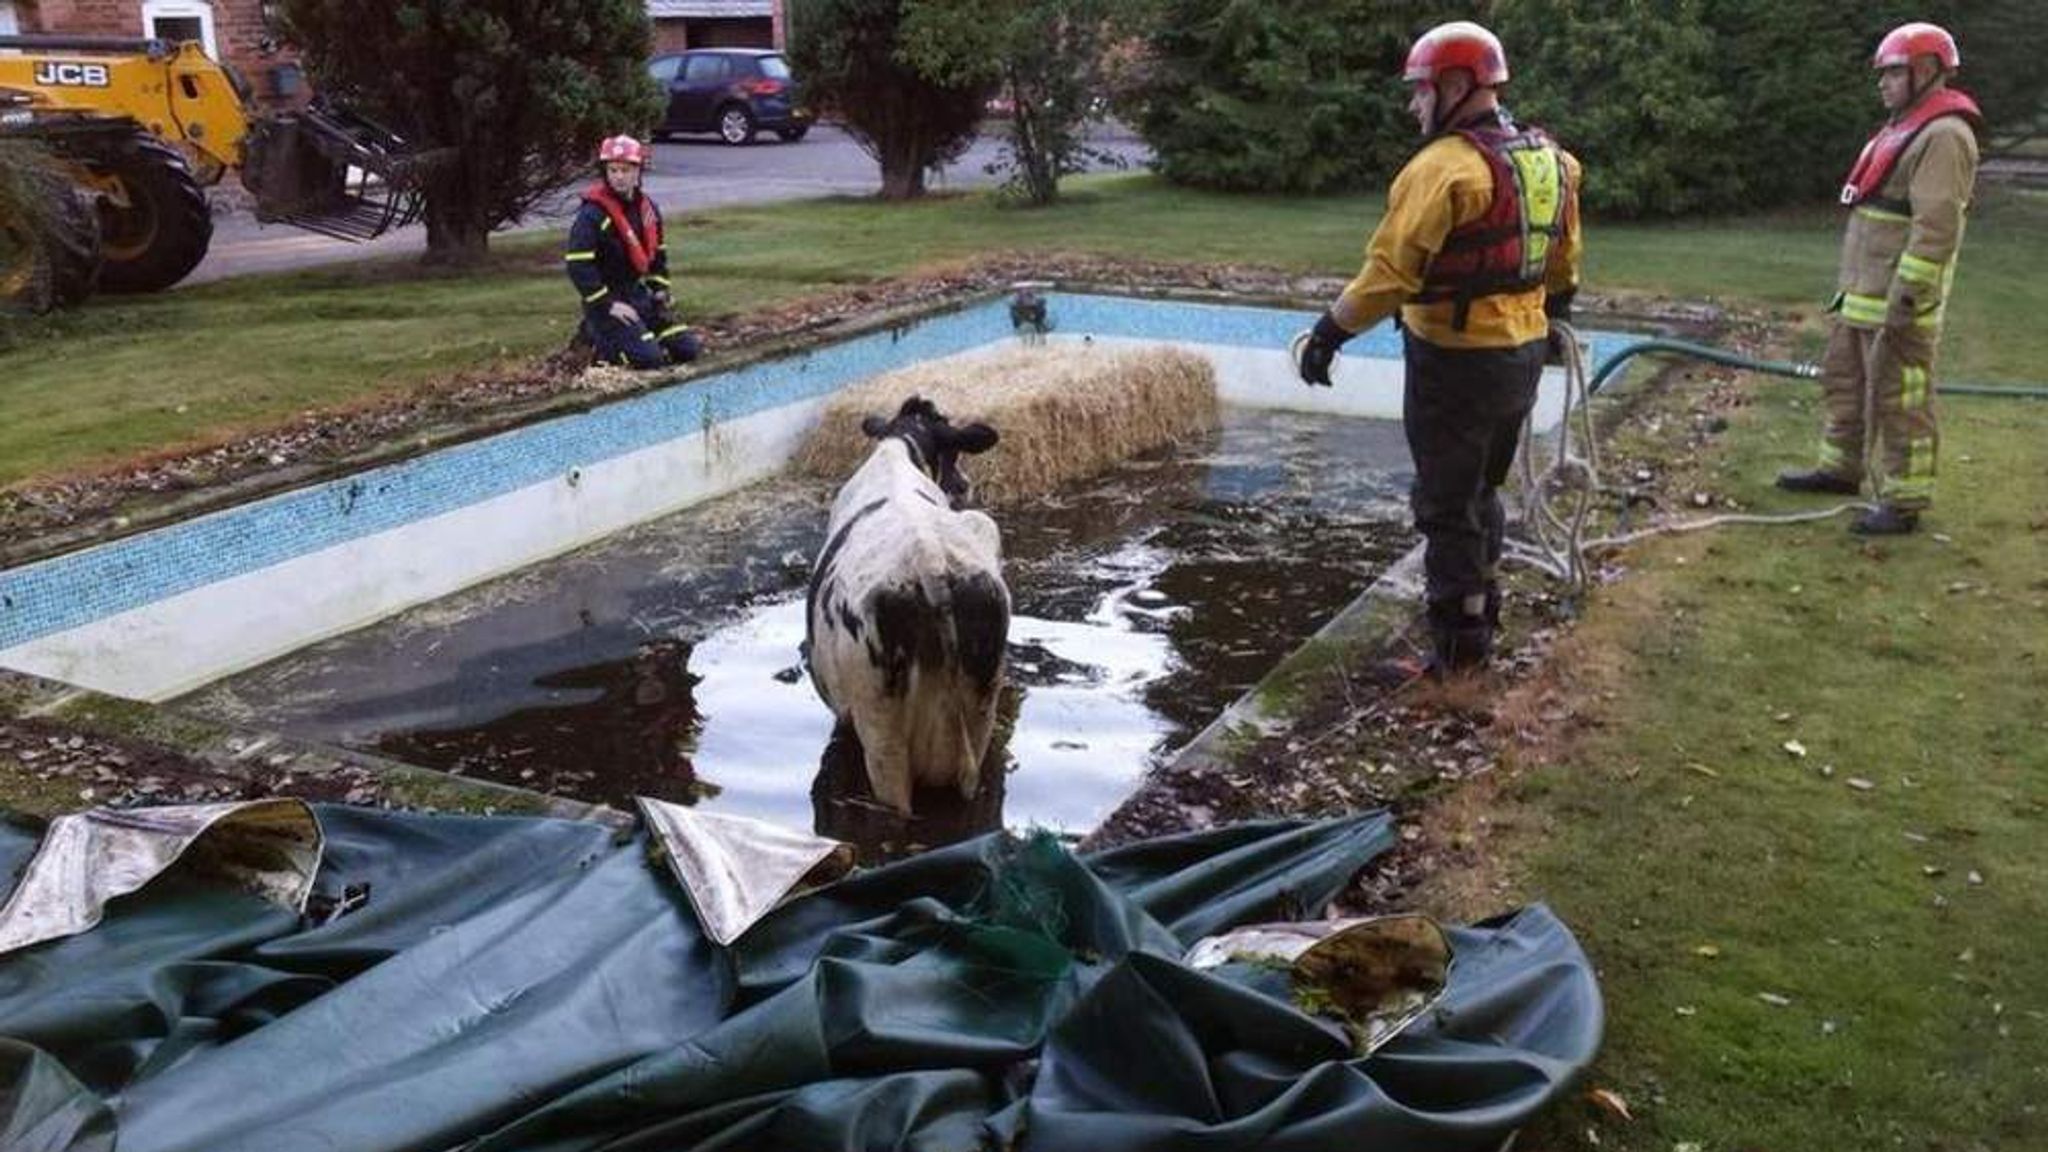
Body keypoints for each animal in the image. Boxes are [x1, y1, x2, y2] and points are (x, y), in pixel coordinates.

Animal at [805, 396, 1008, 816]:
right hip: (980, 715)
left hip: (882, 738)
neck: (898, 453)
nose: (964, 485)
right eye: (955, 452)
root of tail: (929, 561)